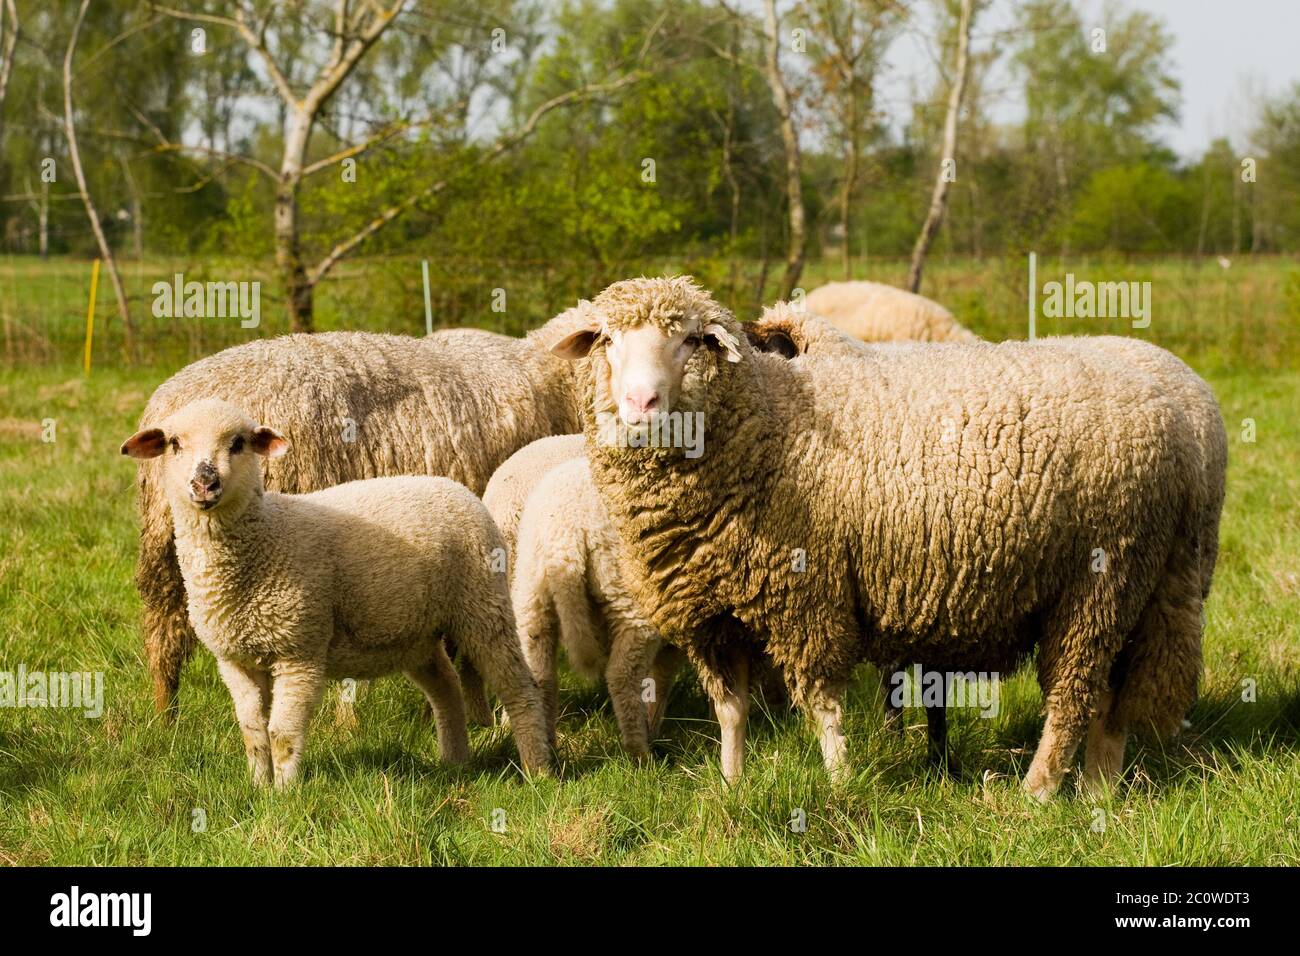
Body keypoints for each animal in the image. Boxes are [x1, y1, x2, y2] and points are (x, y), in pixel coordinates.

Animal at [120, 398, 552, 786]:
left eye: (238, 443)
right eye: (175, 443)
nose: (205, 483)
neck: (263, 540)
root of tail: (456, 488)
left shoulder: (300, 650)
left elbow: (282, 733)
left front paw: (285, 796)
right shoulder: (235, 660)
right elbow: (253, 732)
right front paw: (258, 787)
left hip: (482, 604)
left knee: (519, 689)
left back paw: (539, 770)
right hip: (416, 634)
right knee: (446, 688)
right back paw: (455, 763)